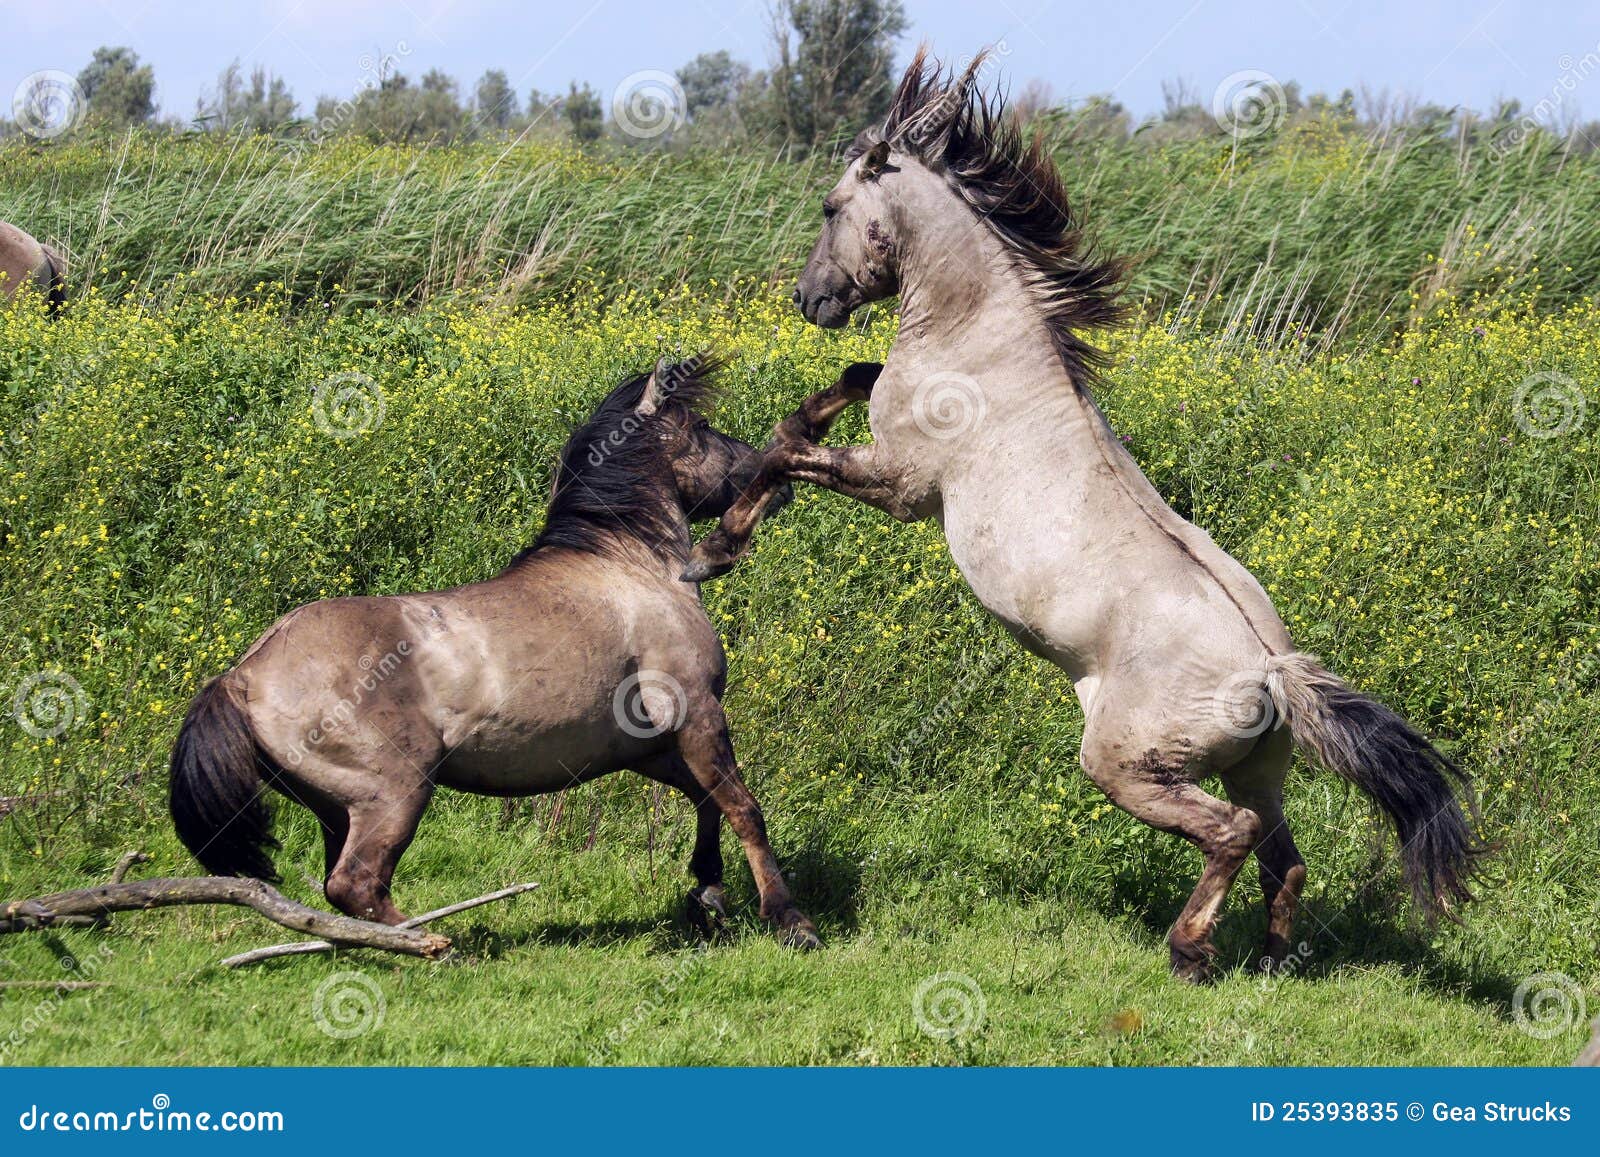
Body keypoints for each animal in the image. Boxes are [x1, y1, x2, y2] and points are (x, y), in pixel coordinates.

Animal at [169, 356, 824, 949]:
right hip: (394, 795)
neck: (634, 567)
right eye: (701, 427)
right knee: (356, 882)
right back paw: (431, 944)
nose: (770, 474)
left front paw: (707, 892)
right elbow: (744, 808)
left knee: (342, 889)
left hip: (337, 808)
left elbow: (708, 803)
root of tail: (243, 676)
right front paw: (790, 920)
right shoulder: (696, 713)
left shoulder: (651, 747)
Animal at [684, 50, 1486, 981]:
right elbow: (844, 383)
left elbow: (786, 447)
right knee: (1283, 859)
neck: (979, 341)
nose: (809, 298)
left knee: (1232, 835)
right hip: (1258, 771)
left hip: (1125, 766)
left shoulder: (902, 485)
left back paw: (1190, 951)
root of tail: (1273, 670)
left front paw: (716, 548)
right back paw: (1271, 963)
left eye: (830, 206)